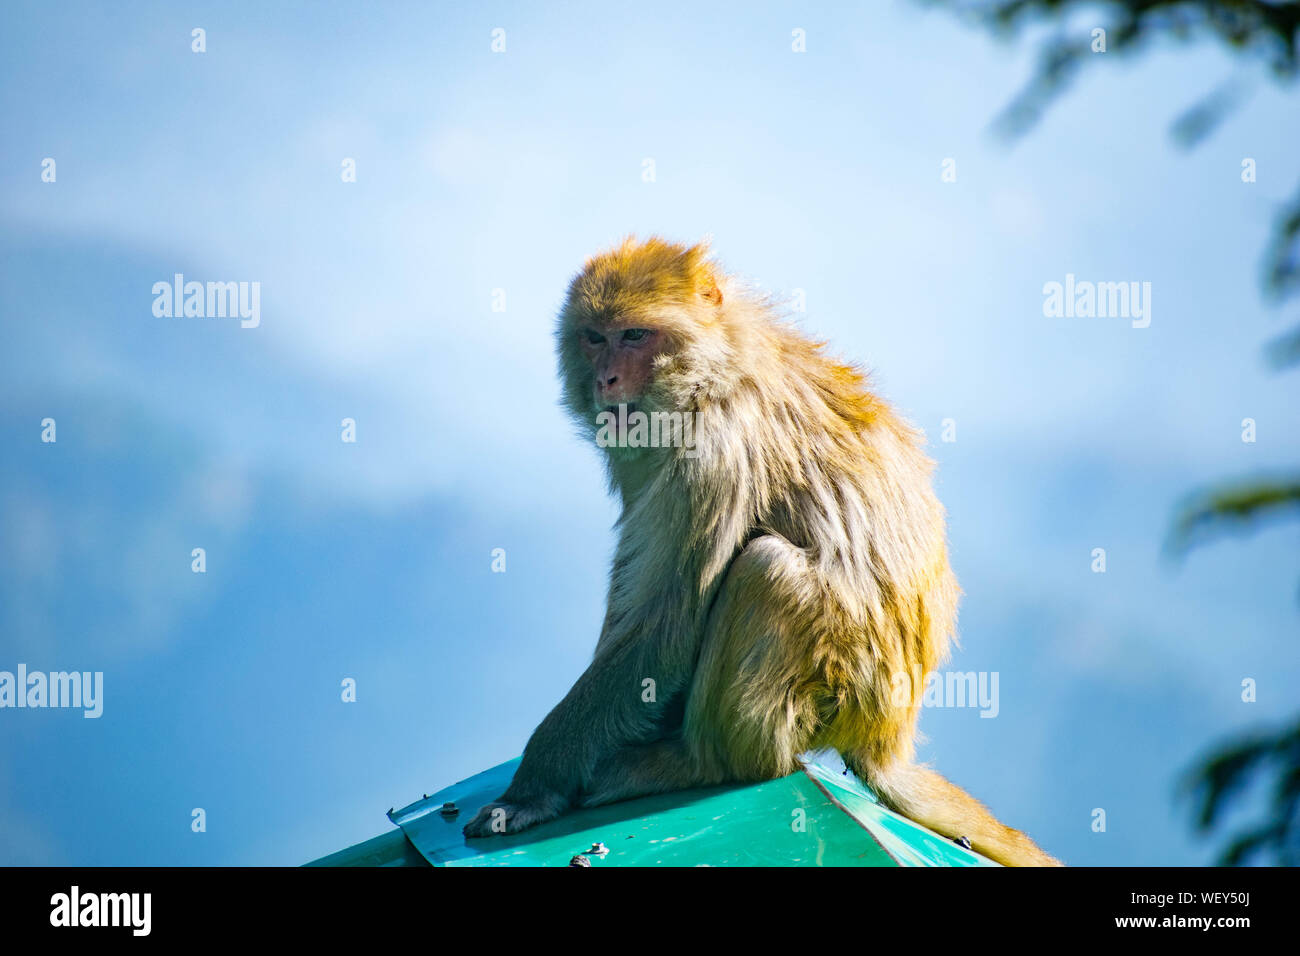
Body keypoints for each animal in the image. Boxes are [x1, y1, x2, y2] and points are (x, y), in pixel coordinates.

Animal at [463, 236, 1061, 866]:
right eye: (594, 337)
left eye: (635, 335)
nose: (606, 380)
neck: (712, 374)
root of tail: (884, 738)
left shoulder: (713, 449)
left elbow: (662, 630)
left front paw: (533, 786)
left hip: (835, 685)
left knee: (765, 569)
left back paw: (700, 763)